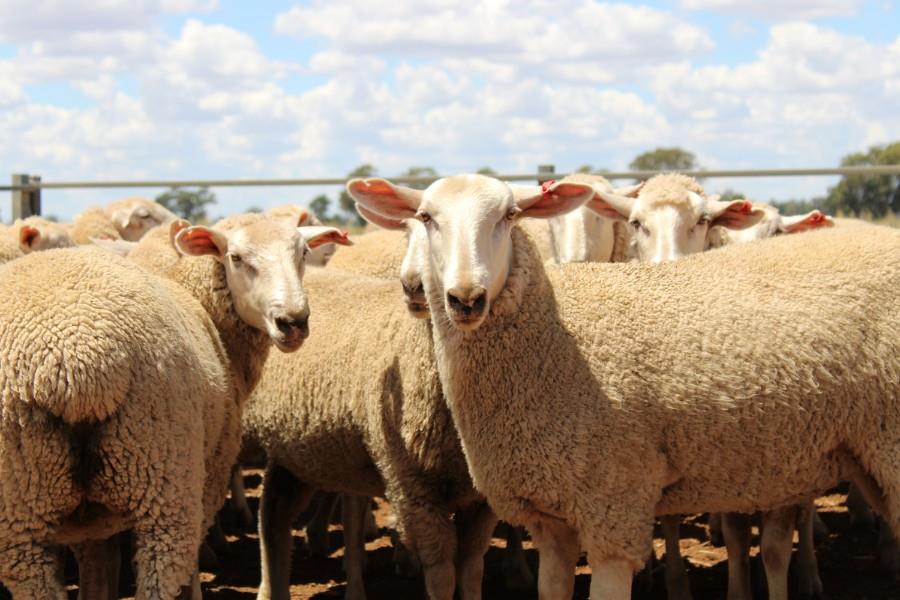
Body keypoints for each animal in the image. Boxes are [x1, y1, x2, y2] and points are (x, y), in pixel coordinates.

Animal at [0, 214, 350, 599]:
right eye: (236, 258)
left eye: (302, 253)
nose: (293, 321)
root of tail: (75, 364)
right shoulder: (209, 474)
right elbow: (192, 562)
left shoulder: (92, 524)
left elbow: (99, 569)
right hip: (163, 477)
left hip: (21, 506)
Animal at [348, 174, 899, 600]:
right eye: (426, 218)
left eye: (509, 215)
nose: (466, 297)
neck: (554, 341)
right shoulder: (551, 518)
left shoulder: (614, 503)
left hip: (883, 446)